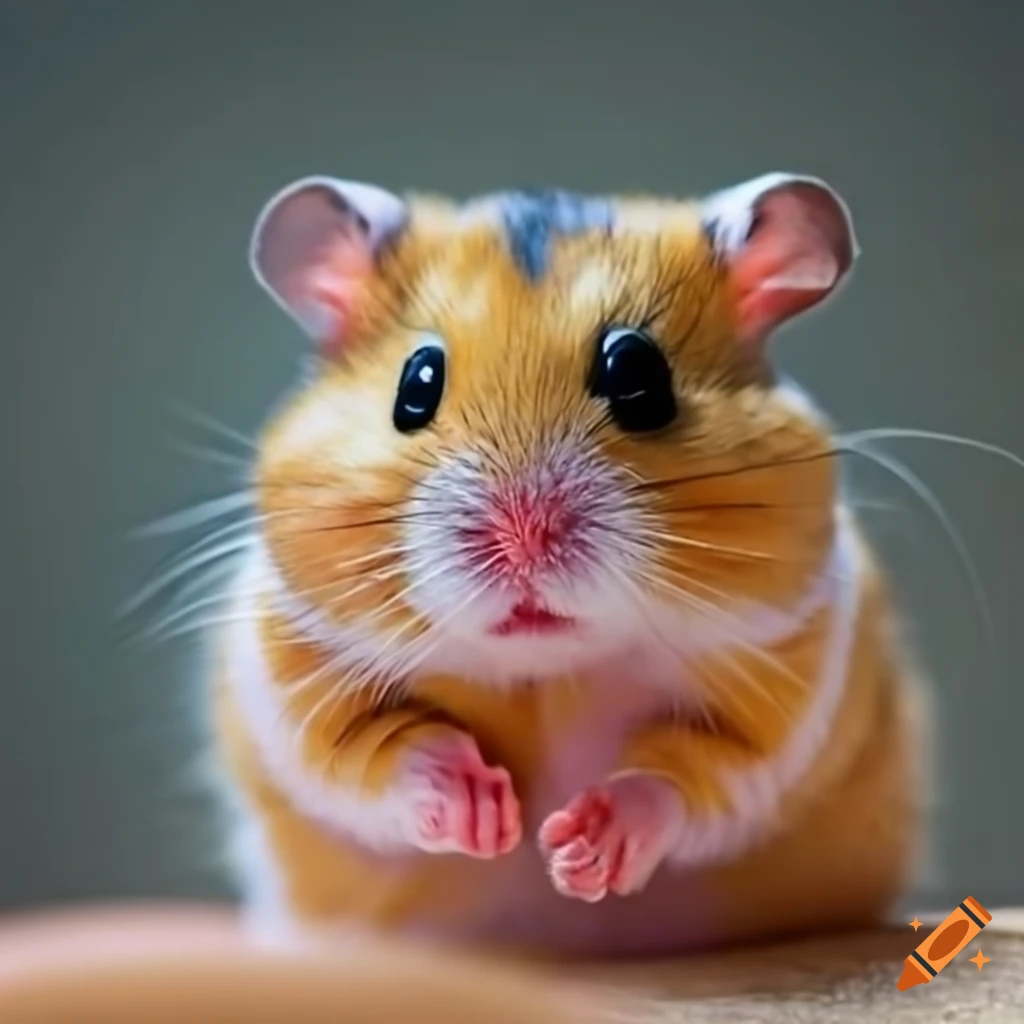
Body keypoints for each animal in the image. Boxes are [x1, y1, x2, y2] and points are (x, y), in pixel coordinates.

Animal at [210, 172, 927, 957]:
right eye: (416, 383)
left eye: (637, 373)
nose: (521, 536)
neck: (551, 669)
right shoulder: (290, 680)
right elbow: (378, 751)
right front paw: (485, 813)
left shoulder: (792, 693)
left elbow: (686, 773)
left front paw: (581, 847)